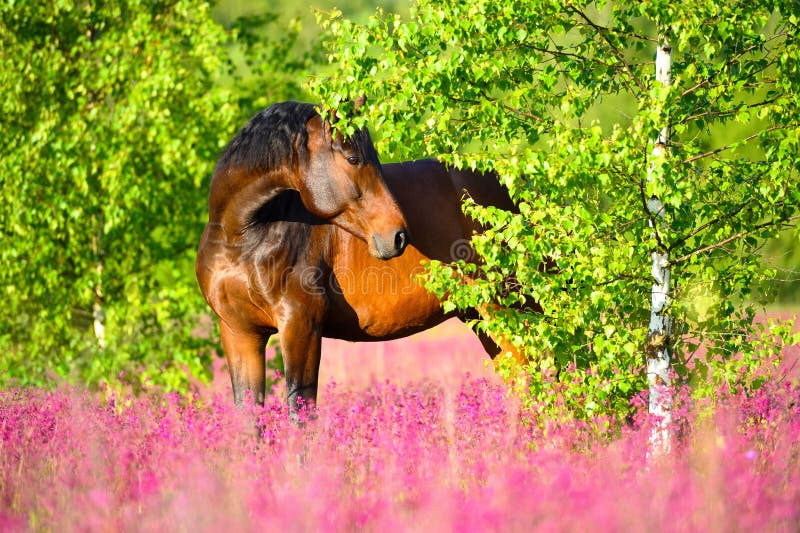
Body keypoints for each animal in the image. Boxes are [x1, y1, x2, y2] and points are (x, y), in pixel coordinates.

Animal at [196, 101, 519, 418]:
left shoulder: (301, 327)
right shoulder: (240, 334)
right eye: (353, 158)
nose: (398, 236)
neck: (243, 235)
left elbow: (301, 415)